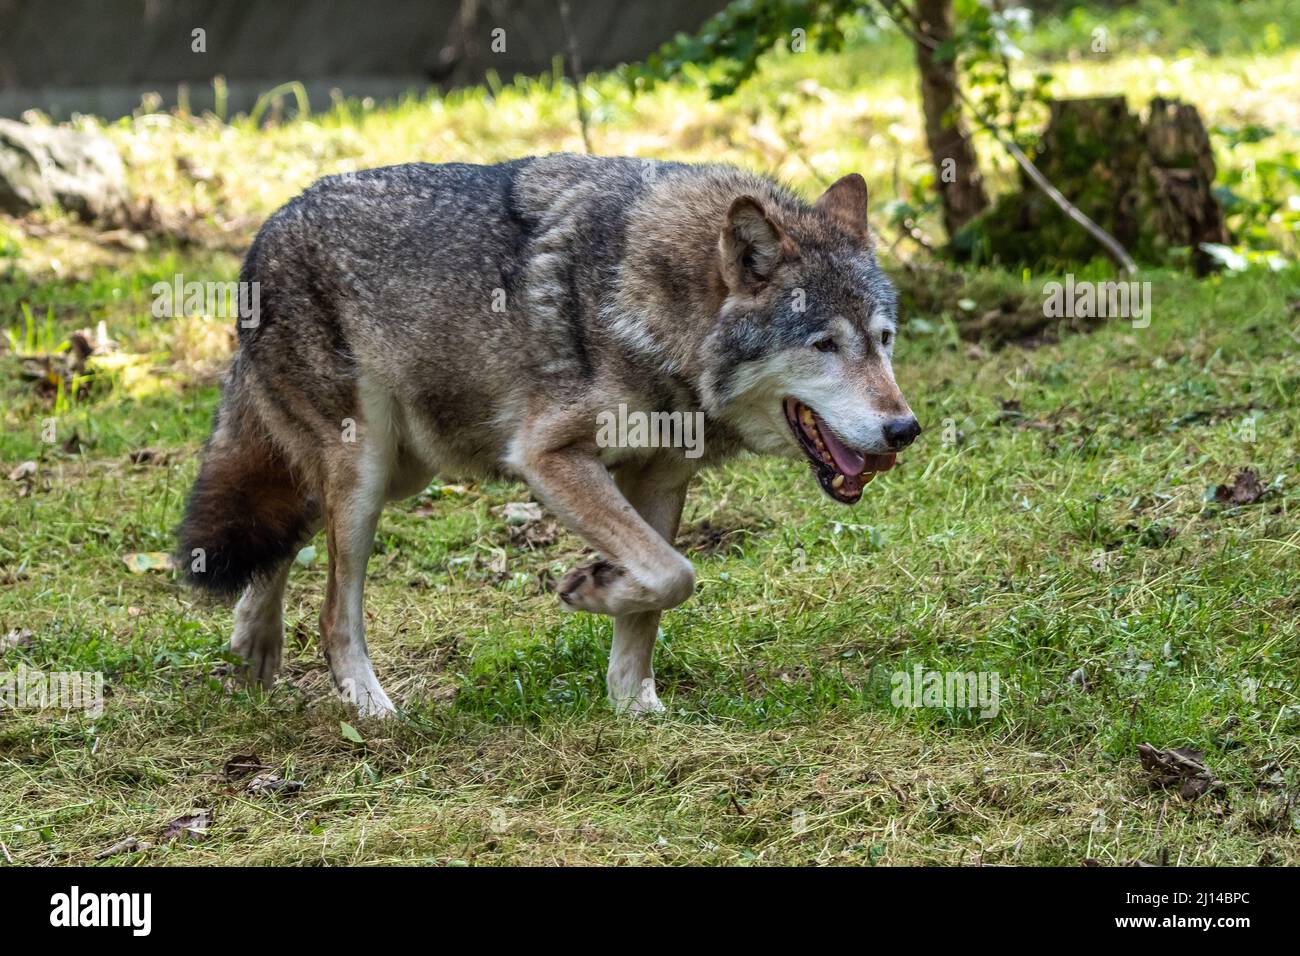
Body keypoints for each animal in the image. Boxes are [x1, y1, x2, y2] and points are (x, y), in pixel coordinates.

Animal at [178, 155, 920, 716]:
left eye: (883, 340)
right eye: (824, 345)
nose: (905, 429)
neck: (659, 307)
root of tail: (268, 226)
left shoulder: (662, 477)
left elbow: (654, 602)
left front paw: (634, 707)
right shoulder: (547, 456)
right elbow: (673, 573)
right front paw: (591, 591)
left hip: (400, 470)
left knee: (289, 528)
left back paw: (254, 641)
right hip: (367, 470)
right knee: (334, 610)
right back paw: (370, 707)